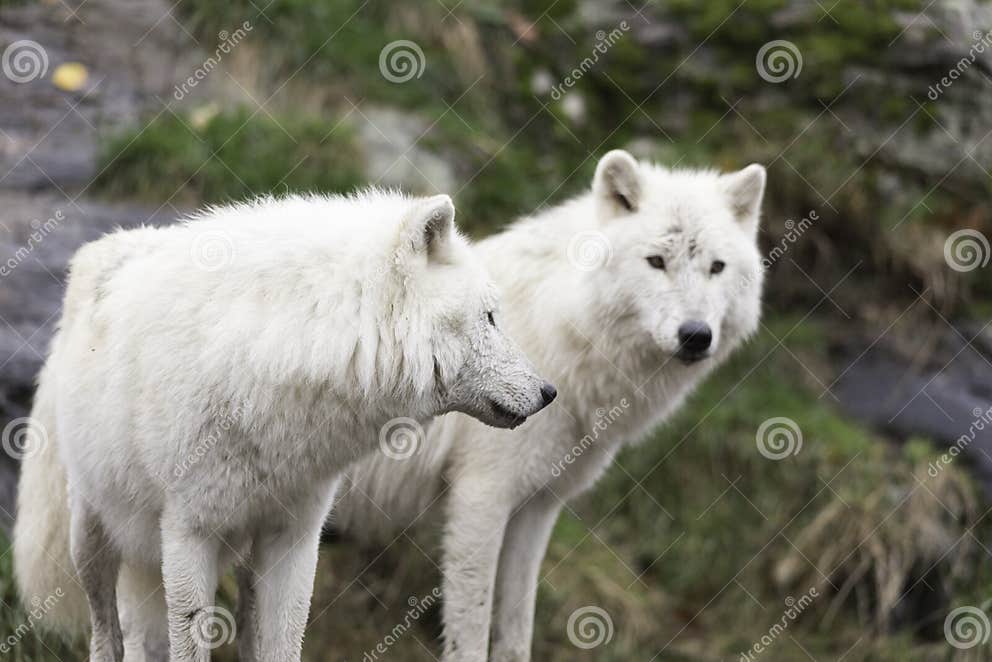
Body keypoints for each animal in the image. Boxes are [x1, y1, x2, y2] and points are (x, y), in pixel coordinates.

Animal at [13, 190, 556, 662]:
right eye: (490, 317)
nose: (549, 393)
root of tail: (99, 250)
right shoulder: (188, 533)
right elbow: (190, 644)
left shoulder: (294, 536)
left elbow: (281, 645)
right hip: (91, 539)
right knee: (105, 635)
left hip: (217, 556)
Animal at [334, 151, 767, 661]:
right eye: (657, 261)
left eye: (717, 267)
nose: (696, 335)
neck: (562, 333)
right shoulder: (481, 498)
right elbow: (472, 630)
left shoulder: (537, 508)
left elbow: (516, 631)